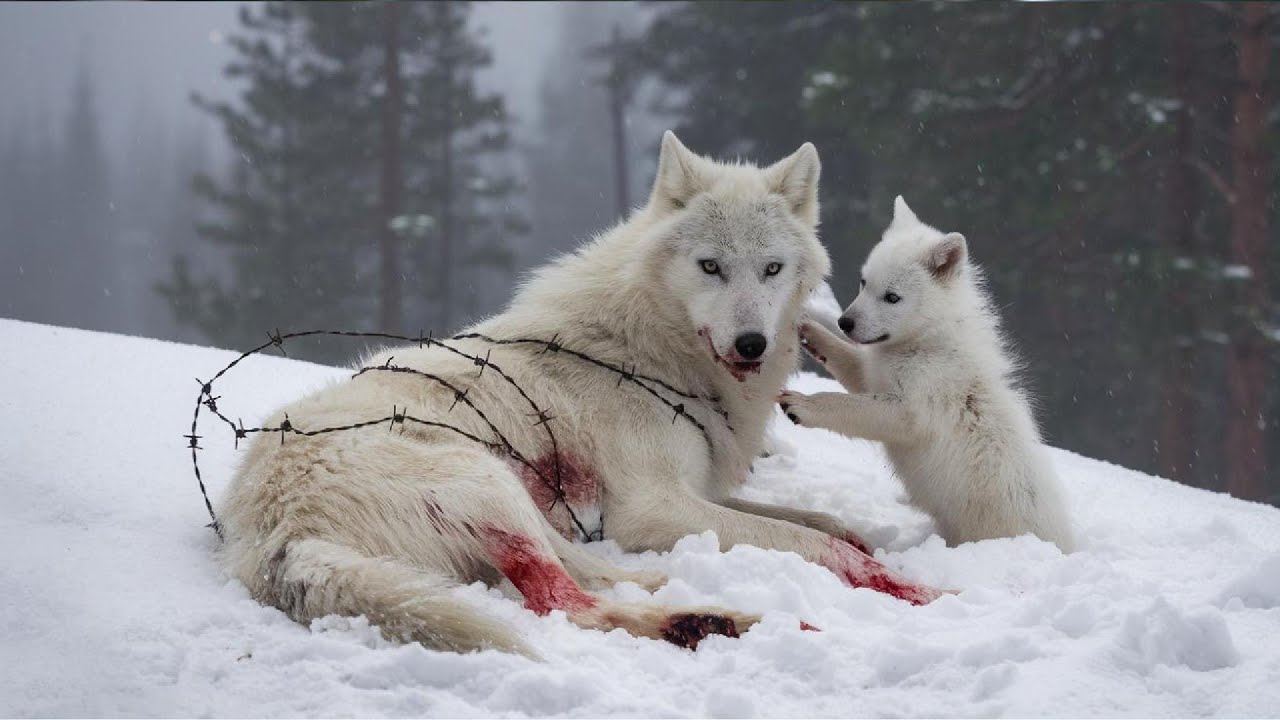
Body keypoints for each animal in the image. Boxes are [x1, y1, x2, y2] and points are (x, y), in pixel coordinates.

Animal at [220, 135, 943, 658]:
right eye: (710, 266)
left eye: (772, 269)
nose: (751, 345)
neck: (644, 350)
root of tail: (274, 537)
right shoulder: (651, 508)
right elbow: (826, 547)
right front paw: (924, 591)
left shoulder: (694, 491)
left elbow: (826, 524)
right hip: (486, 479)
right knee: (571, 604)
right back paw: (735, 625)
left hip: (514, 506)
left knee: (587, 581)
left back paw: (693, 611)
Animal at [779, 196, 1073, 552]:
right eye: (864, 282)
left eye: (892, 297)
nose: (844, 322)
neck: (928, 342)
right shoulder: (872, 377)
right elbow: (846, 361)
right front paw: (808, 326)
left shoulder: (912, 411)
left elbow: (848, 406)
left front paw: (803, 405)